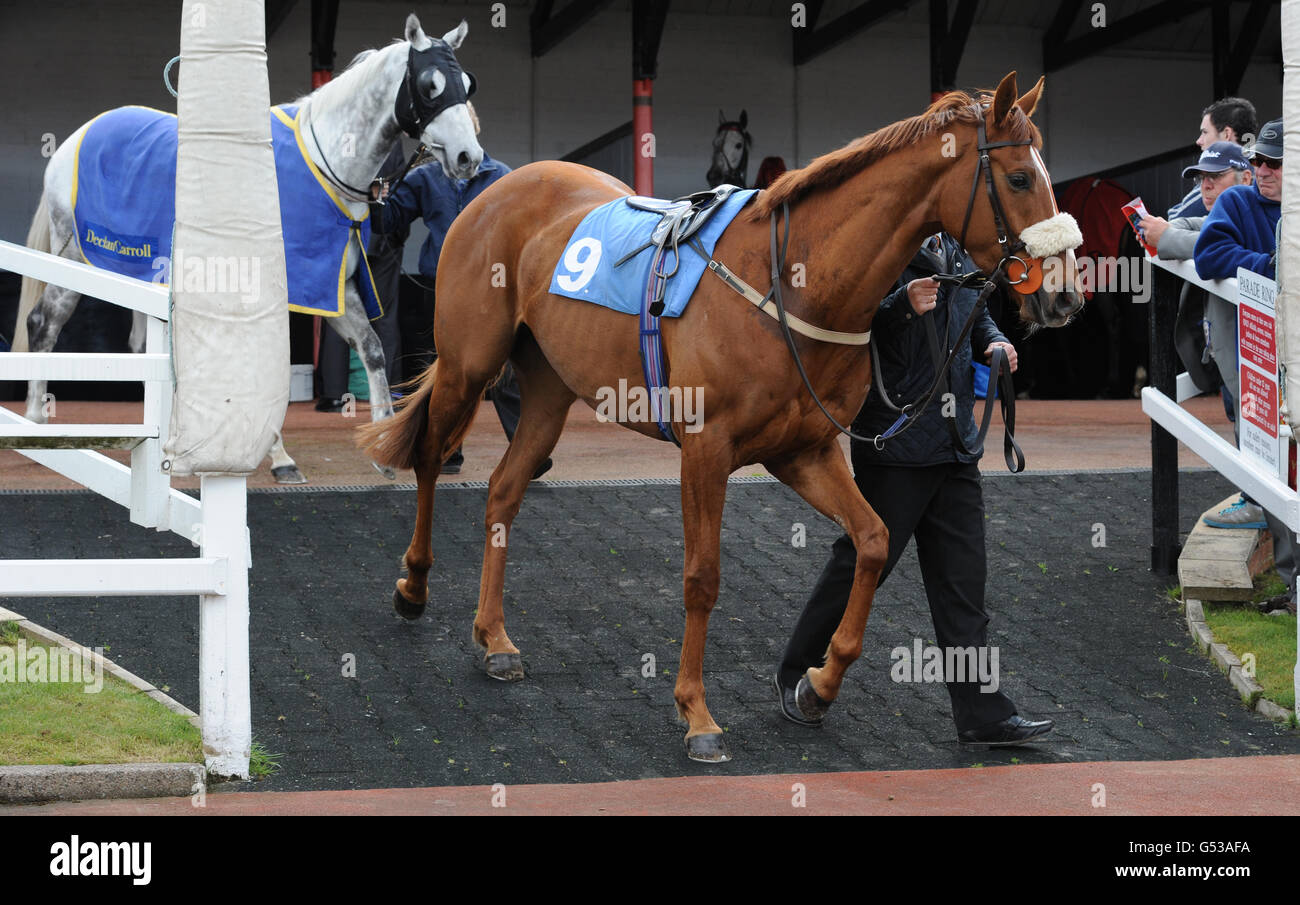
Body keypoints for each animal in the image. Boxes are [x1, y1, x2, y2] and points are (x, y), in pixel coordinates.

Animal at [12, 13, 482, 484]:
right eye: (430, 85)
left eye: (467, 84)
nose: (469, 157)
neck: (324, 163)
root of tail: (75, 140)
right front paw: (281, 458)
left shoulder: (335, 285)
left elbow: (372, 348)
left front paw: (382, 449)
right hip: (74, 257)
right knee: (43, 323)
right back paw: (35, 423)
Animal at [360, 72, 1084, 763]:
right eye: (1019, 177)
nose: (1064, 296)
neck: (788, 279)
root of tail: (493, 190)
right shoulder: (706, 451)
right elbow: (703, 578)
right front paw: (698, 716)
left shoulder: (804, 450)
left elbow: (875, 539)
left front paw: (817, 684)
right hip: (468, 364)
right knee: (429, 457)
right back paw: (413, 587)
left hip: (547, 388)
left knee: (504, 490)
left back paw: (495, 639)